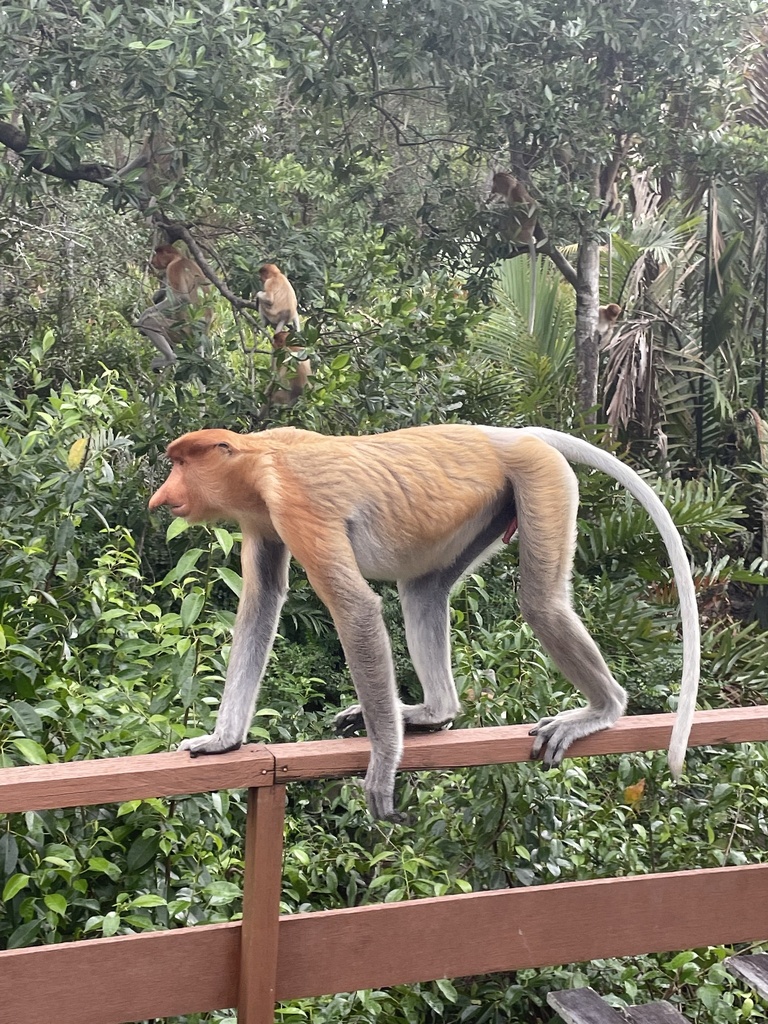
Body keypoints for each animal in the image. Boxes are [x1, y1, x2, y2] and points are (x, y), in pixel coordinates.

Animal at [149, 424, 700, 822]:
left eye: (181, 464)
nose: (160, 496)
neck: (259, 460)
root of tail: (505, 433)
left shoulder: (295, 505)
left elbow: (356, 609)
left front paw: (381, 769)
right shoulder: (261, 520)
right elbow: (262, 604)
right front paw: (221, 742)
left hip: (540, 477)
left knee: (540, 603)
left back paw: (603, 709)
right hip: (486, 510)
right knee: (423, 592)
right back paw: (433, 712)